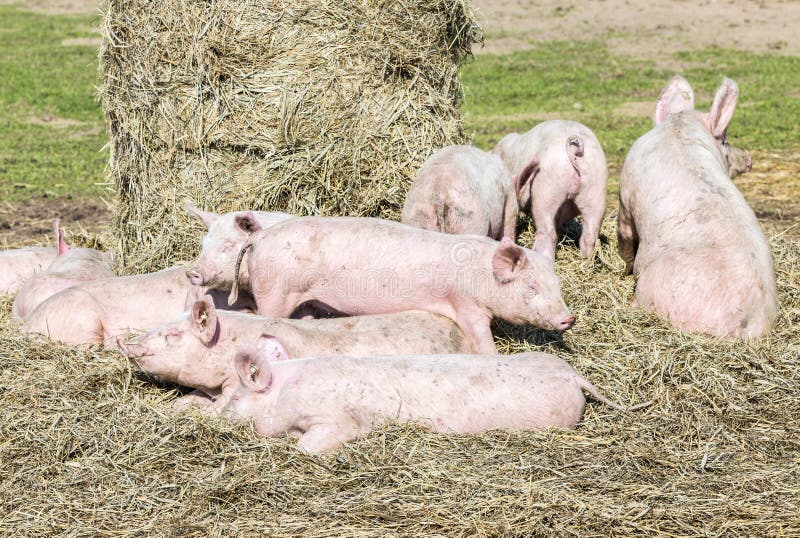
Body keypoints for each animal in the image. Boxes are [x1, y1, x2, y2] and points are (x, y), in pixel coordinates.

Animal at [229, 217, 575, 354]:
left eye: (557, 285)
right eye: (531, 287)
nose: (568, 318)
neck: (482, 274)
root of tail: (260, 237)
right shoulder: (466, 305)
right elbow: (481, 338)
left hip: (302, 298)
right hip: (274, 292)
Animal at [493, 120, 608, 259]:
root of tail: (575, 152)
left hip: (545, 192)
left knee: (548, 233)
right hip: (596, 189)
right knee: (589, 235)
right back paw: (584, 260)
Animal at [617, 76, 777, 338]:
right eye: (725, 140)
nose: (749, 159)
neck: (678, 128)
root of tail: (749, 326)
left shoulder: (626, 197)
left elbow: (626, 238)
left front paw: (624, 269)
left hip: (655, 284)